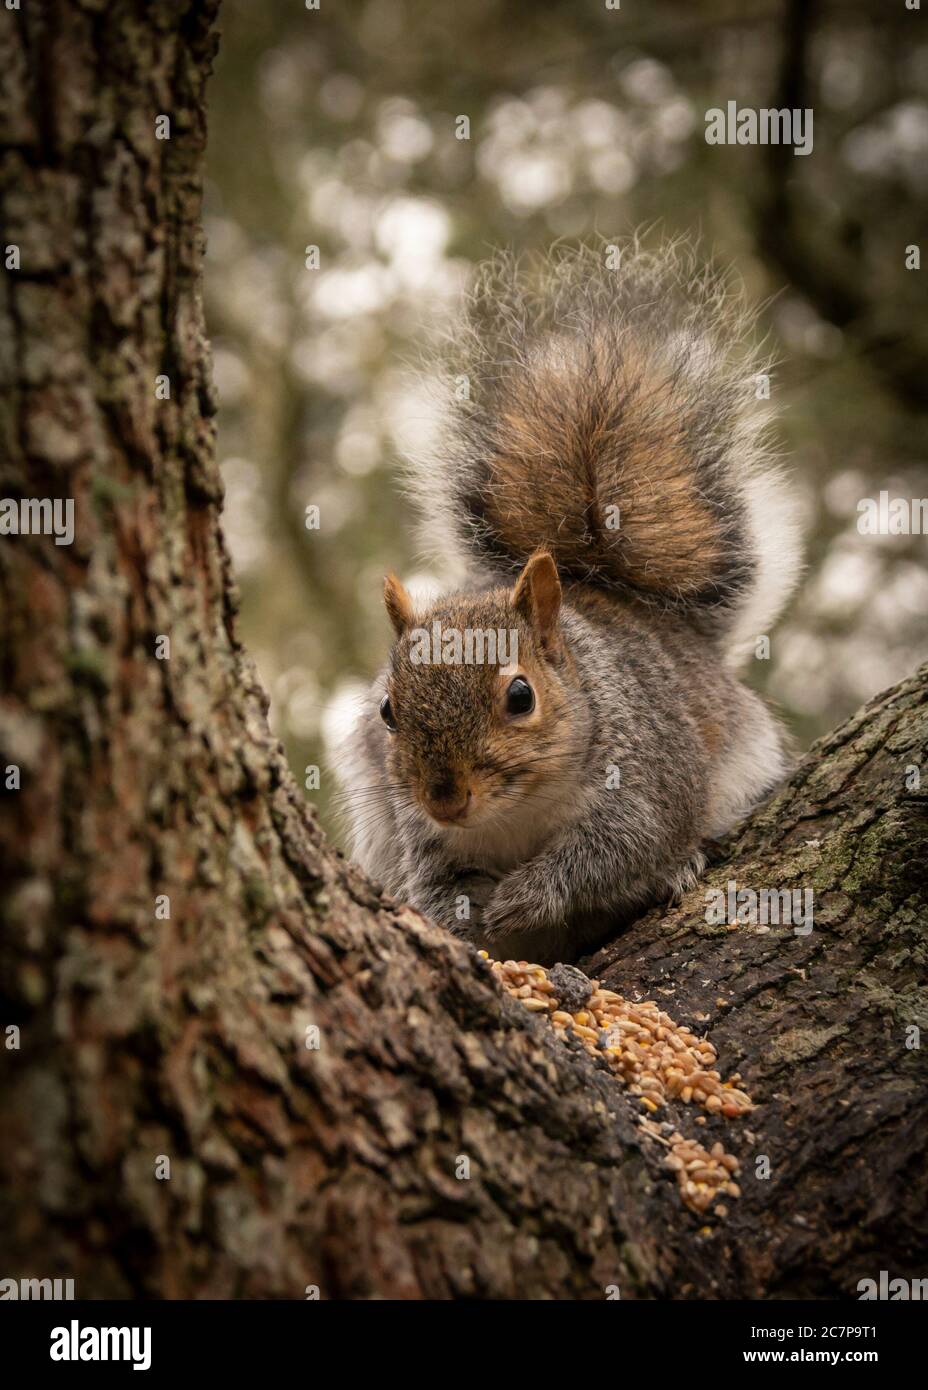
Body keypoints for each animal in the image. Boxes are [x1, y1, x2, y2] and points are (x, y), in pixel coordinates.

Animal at [335, 240, 802, 965]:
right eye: (386, 710)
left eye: (520, 696)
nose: (445, 800)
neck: (514, 812)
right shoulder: (420, 834)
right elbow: (435, 881)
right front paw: (454, 916)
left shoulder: (644, 779)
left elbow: (613, 849)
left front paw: (528, 895)